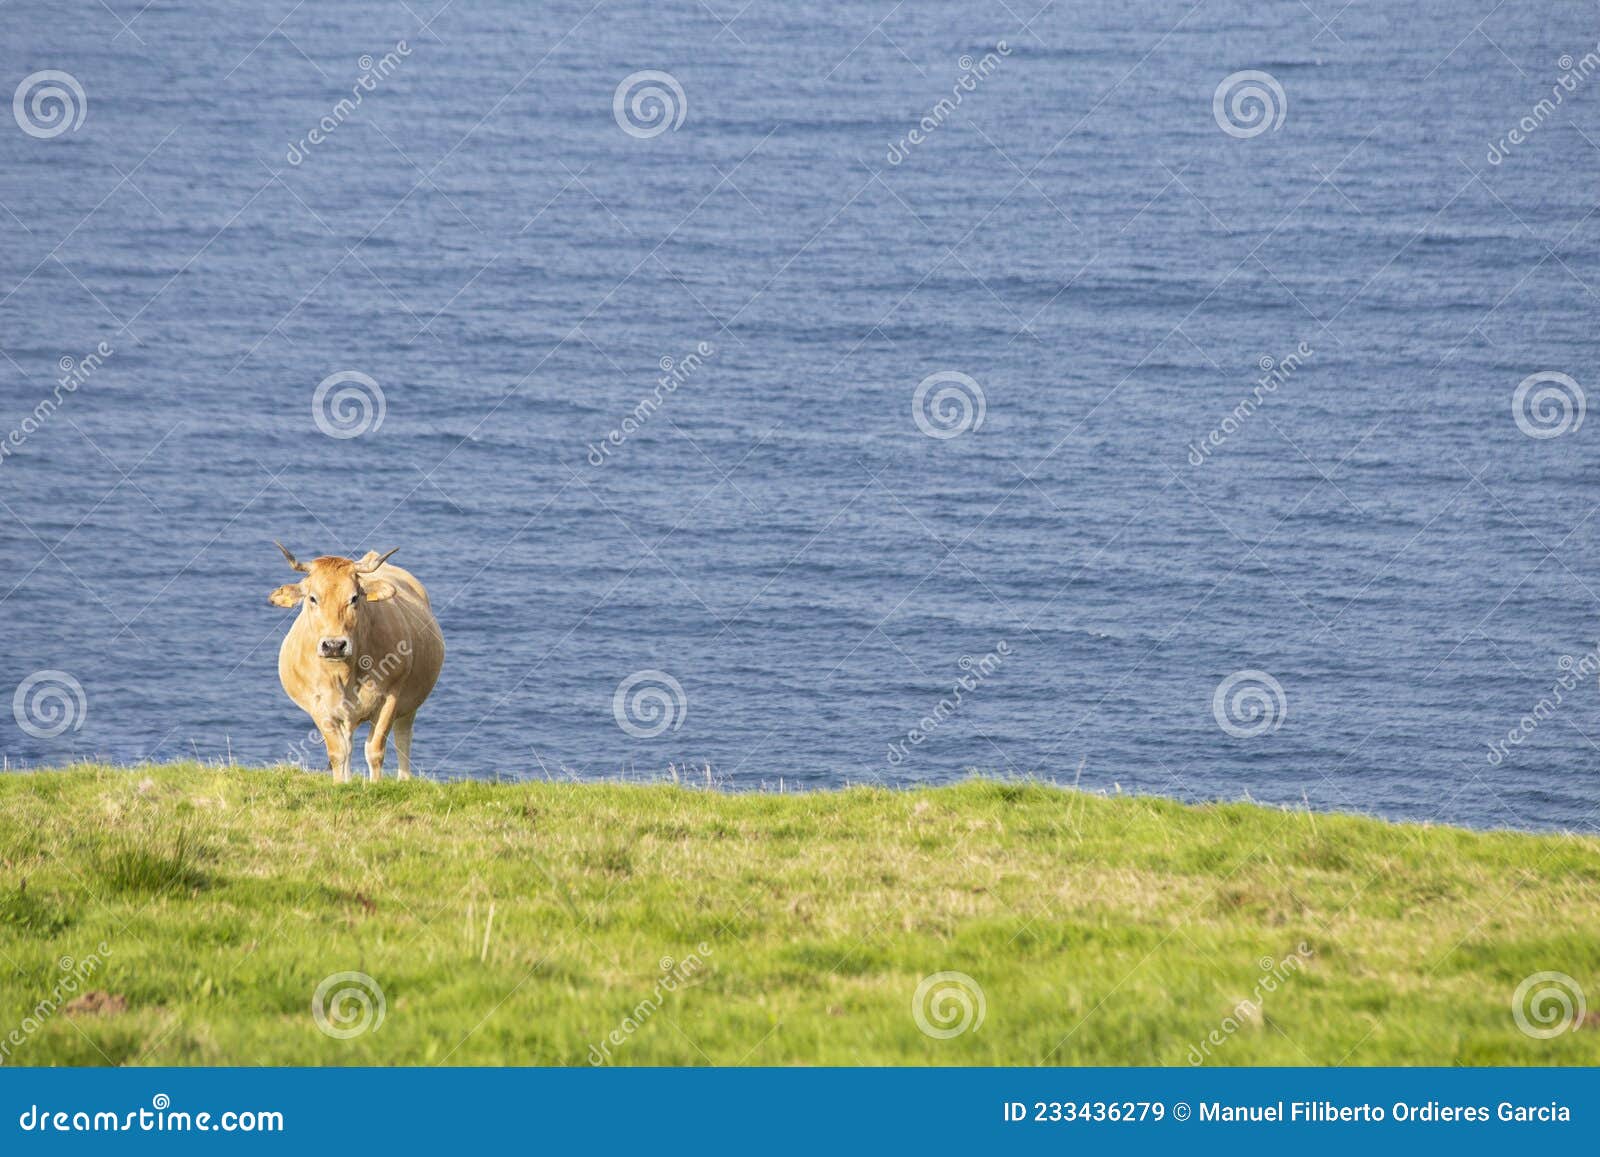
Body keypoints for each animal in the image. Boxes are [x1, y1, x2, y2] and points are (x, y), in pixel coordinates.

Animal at [268, 542, 445, 782]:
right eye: (312, 598)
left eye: (354, 598)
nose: (334, 645)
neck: (343, 674)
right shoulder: (318, 704)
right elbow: (338, 752)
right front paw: (340, 785)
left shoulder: (391, 696)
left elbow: (375, 750)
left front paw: (376, 785)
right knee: (348, 744)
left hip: (410, 704)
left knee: (403, 738)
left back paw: (403, 780)